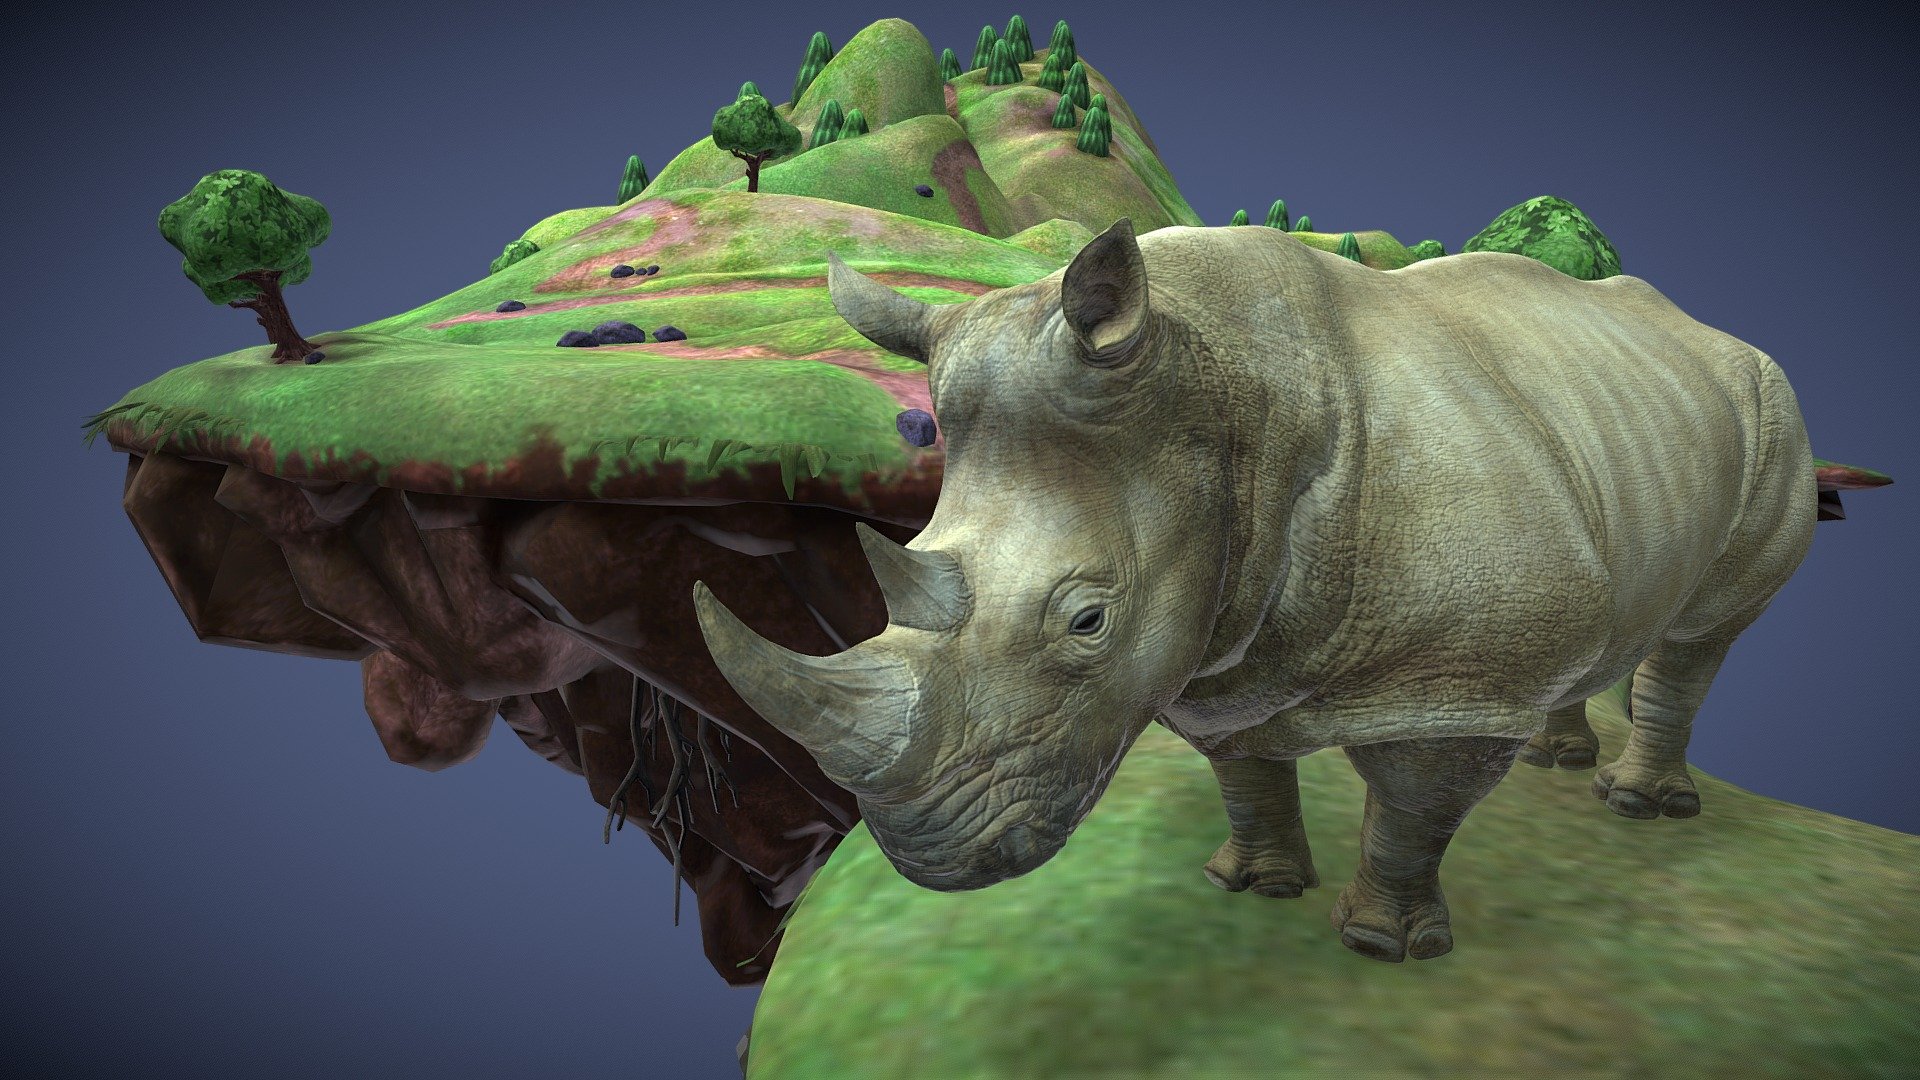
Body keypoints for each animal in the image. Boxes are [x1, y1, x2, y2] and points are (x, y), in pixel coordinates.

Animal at [691, 219, 1818, 963]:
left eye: (1089, 620)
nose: (925, 855)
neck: (1227, 396)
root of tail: (1707, 329)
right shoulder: (1216, 649)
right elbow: (1243, 766)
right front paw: (1254, 886)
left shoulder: (1458, 676)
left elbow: (1414, 808)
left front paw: (1385, 944)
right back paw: (1558, 756)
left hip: (1771, 408)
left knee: (1705, 633)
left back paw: (1639, 806)